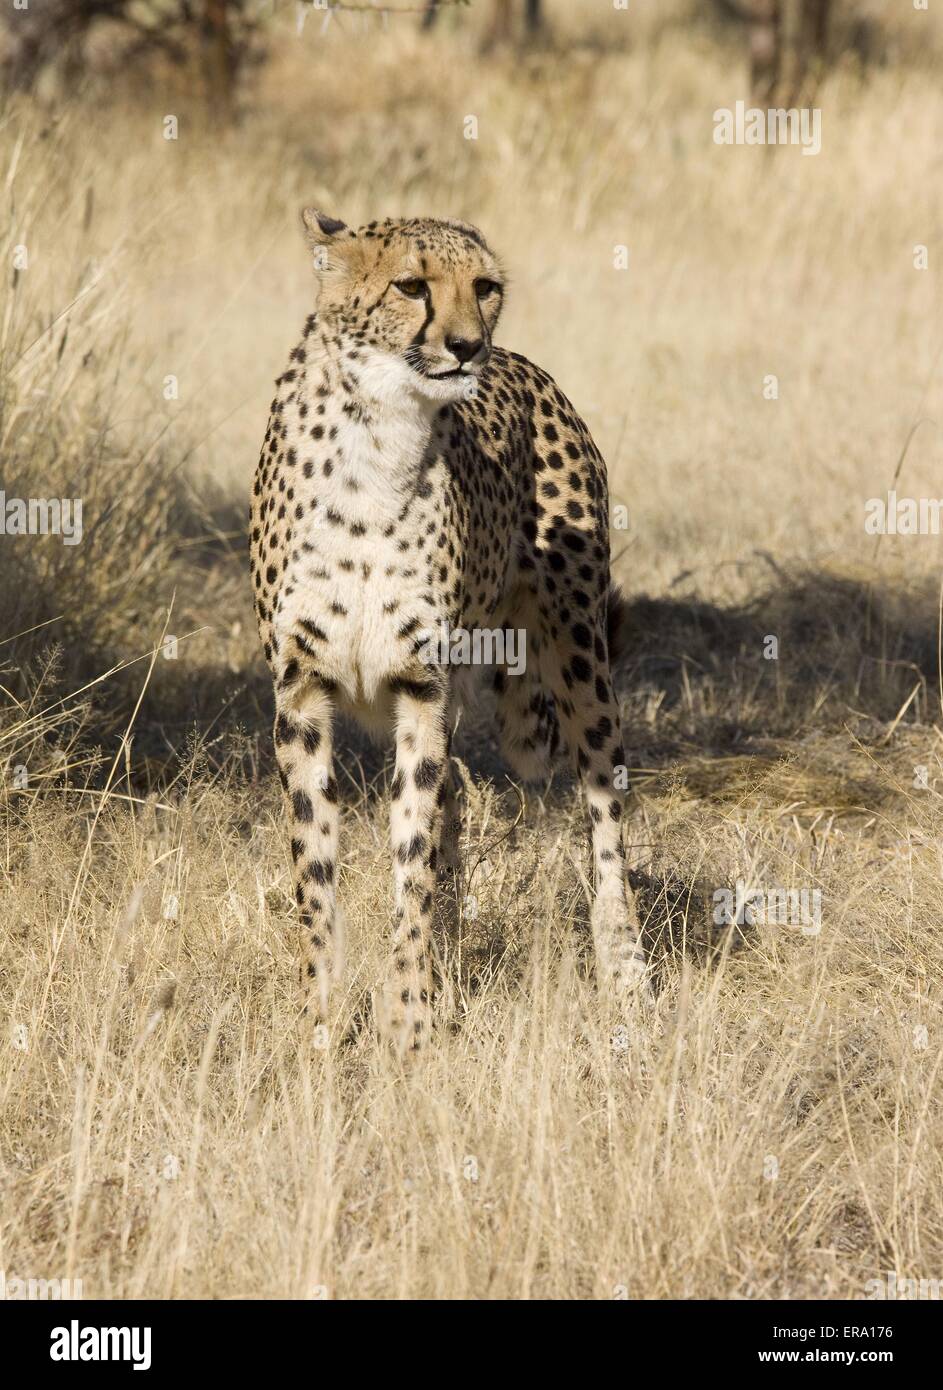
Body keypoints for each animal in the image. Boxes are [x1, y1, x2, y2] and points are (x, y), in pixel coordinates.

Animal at [249, 209, 648, 1053]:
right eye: (410, 285)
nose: (467, 346)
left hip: (581, 660)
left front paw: (408, 1024)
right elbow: (317, 870)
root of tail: (532, 372)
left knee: (602, 815)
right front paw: (321, 1024)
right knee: (460, 793)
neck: (377, 441)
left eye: (485, 286)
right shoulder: (301, 694)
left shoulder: (418, 690)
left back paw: (625, 974)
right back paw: (453, 972)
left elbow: (412, 860)